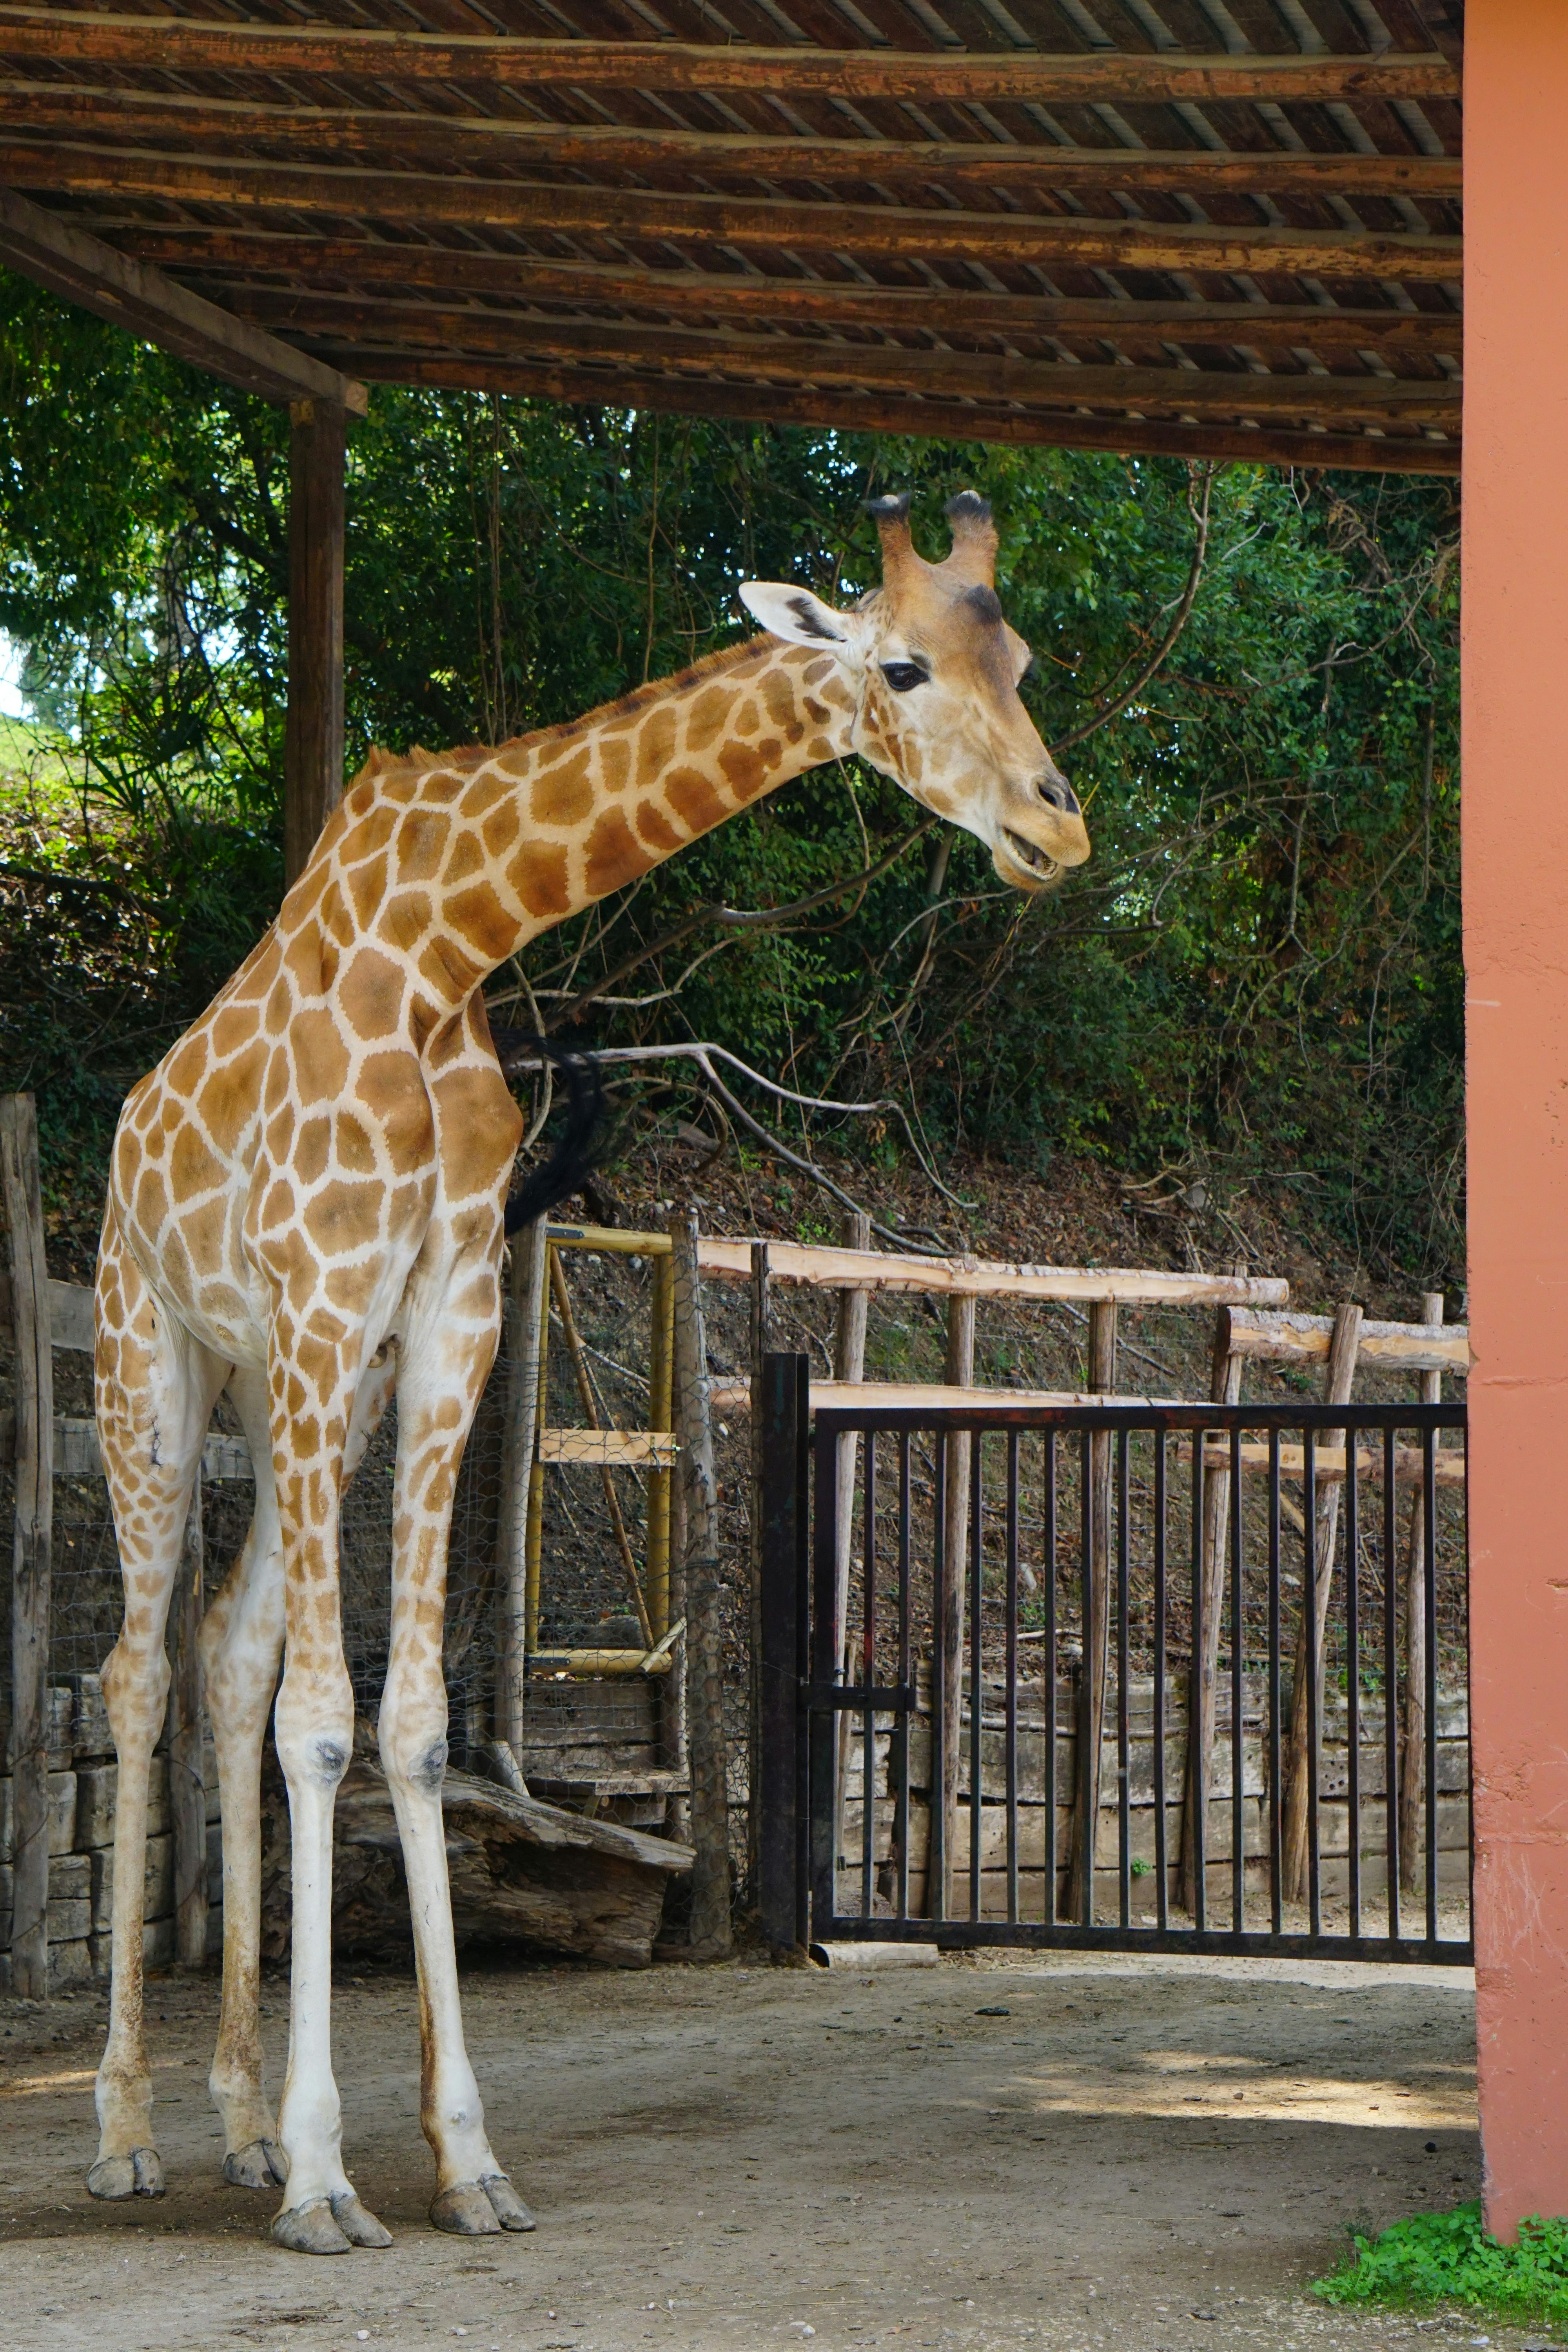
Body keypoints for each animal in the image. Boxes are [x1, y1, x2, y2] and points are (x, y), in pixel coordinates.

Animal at [88, 491, 1089, 2254]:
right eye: (902, 665)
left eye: (1021, 660)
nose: (1061, 828)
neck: (449, 939)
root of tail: (127, 1133)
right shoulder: (330, 1292)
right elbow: (331, 1727)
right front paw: (339, 2180)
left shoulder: (445, 1319)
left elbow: (411, 1724)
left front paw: (457, 2158)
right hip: (159, 1357)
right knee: (139, 1671)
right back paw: (130, 2134)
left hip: (298, 1393)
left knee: (227, 1650)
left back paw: (238, 2128)